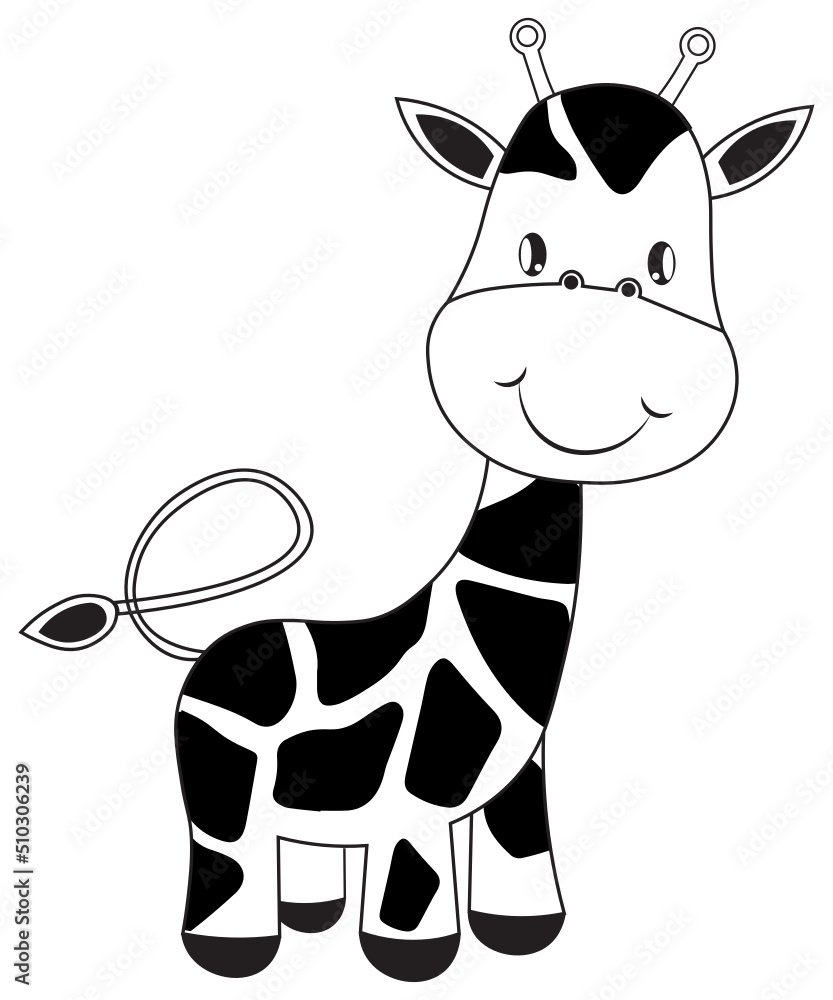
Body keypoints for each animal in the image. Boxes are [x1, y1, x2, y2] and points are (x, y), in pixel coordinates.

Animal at [22, 18, 812, 984]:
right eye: (527, 251)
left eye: (666, 264)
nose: (591, 371)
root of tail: (207, 648)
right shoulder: (415, 797)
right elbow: (414, 889)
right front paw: (411, 959)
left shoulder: (519, 776)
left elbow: (520, 863)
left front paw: (522, 939)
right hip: (220, 789)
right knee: (225, 861)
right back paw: (239, 952)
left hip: (304, 803)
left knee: (302, 847)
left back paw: (312, 916)